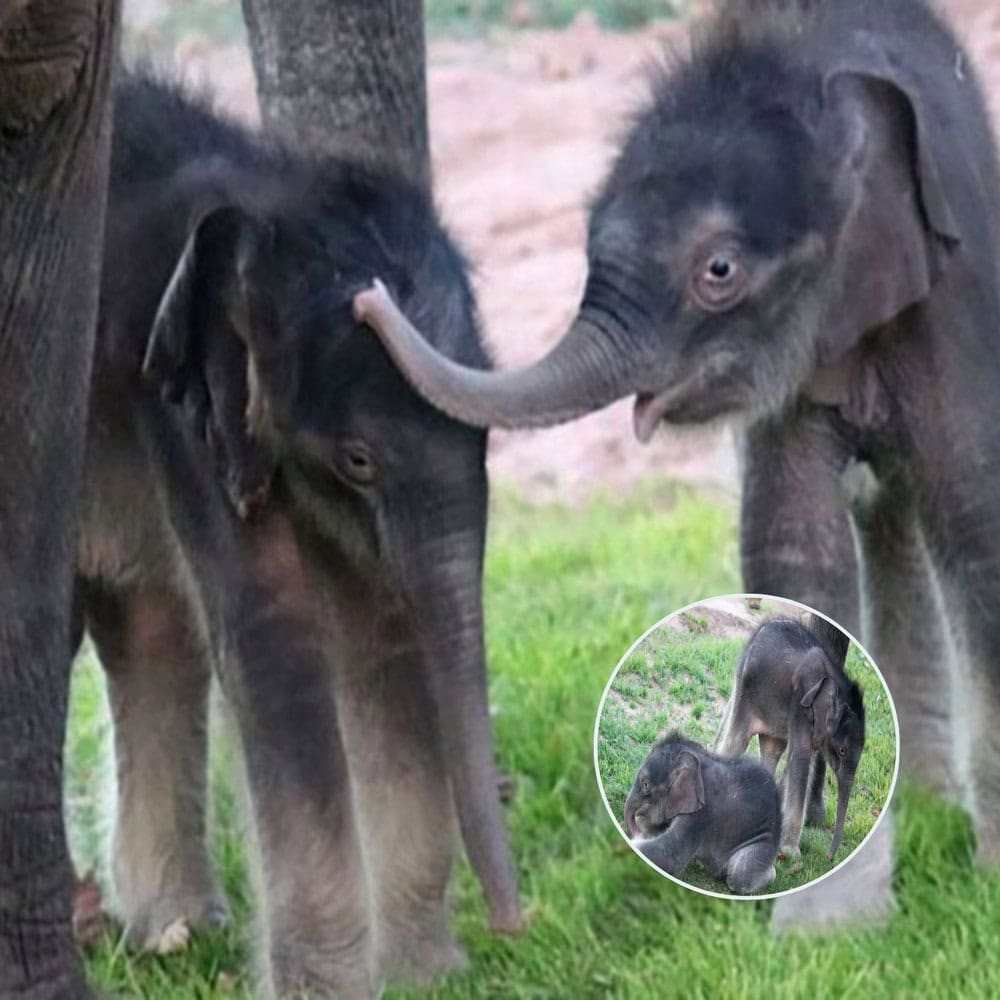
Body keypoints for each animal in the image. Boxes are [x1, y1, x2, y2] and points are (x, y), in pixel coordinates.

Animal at [74, 72, 518, 996]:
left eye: (488, 438)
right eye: (357, 459)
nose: (515, 925)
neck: (260, 194)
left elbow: (375, 627)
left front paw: (424, 978)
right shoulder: (177, 402)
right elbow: (274, 635)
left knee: (147, 627)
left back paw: (172, 933)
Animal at [624, 733, 781, 895]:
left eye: (646, 784)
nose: (637, 835)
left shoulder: (702, 814)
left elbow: (670, 854)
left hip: (762, 841)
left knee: (740, 877)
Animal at [716, 616, 866, 860]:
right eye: (842, 750)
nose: (829, 857)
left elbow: (806, 761)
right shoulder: (802, 706)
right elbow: (801, 759)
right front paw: (791, 854)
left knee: (772, 751)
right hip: (747, 691)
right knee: (735, 743)